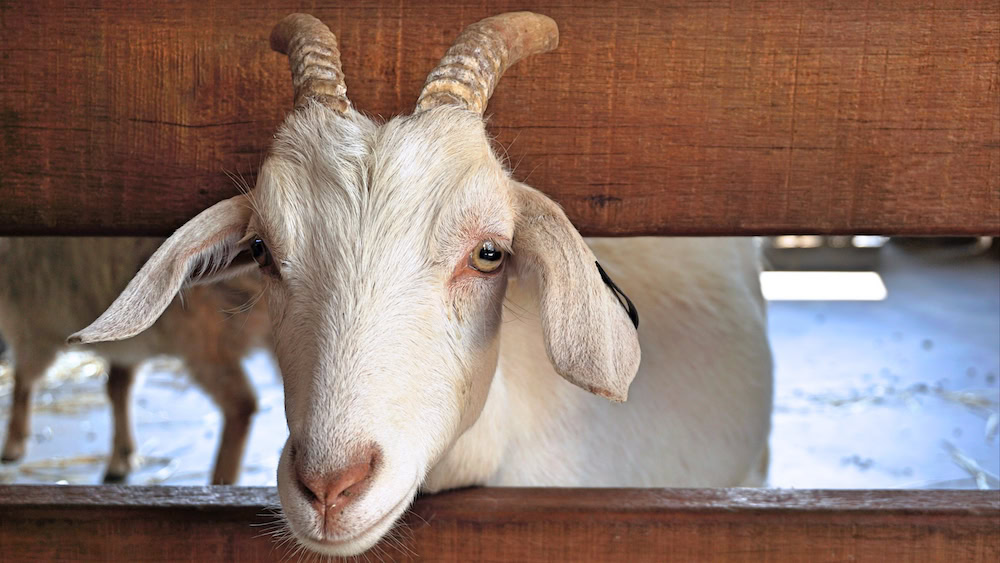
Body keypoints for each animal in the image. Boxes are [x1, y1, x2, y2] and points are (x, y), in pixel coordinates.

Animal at [0, 237, 266, 484]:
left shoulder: (31, 318)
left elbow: (23, 379)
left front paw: (13, 442)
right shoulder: (125, 341)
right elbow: (118, 386)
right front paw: (122, 456)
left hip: (202, 331)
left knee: (241, 404)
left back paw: (220, 483)